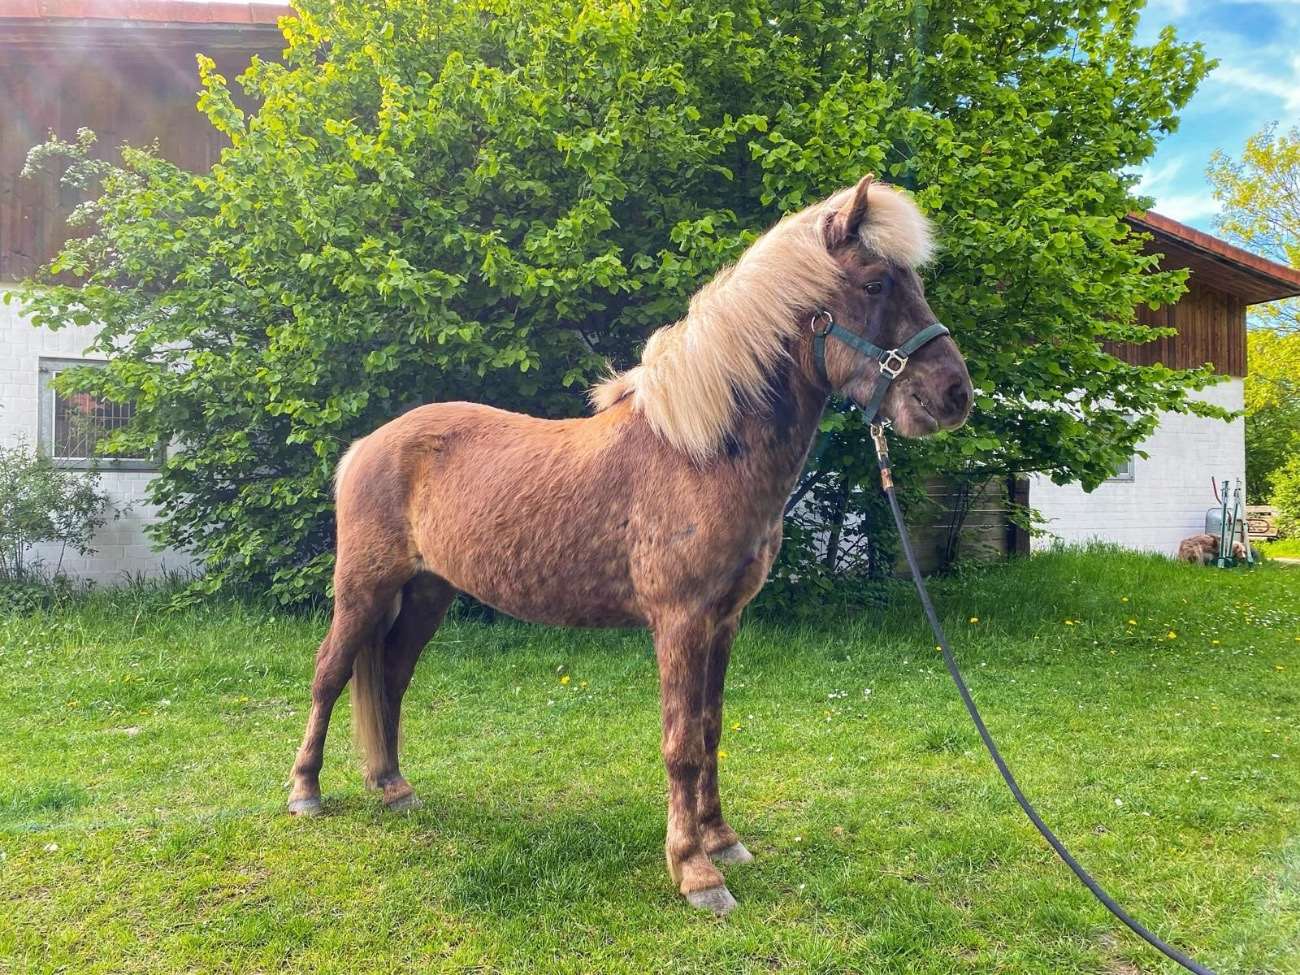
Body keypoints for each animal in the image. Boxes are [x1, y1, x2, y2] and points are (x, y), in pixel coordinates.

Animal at [286, 174, 973, 915]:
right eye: (875, 283)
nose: (953, 394)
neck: (699, 453)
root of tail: (366, 445)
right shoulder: (679, 621)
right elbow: (681, 744)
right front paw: (696, 872)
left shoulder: (724, 621)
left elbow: (711, 729)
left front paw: (722, 840)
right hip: (364, 589)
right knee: (330, 674)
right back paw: (305, 792)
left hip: (426, 593)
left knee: (389, 675)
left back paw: (394, 787)